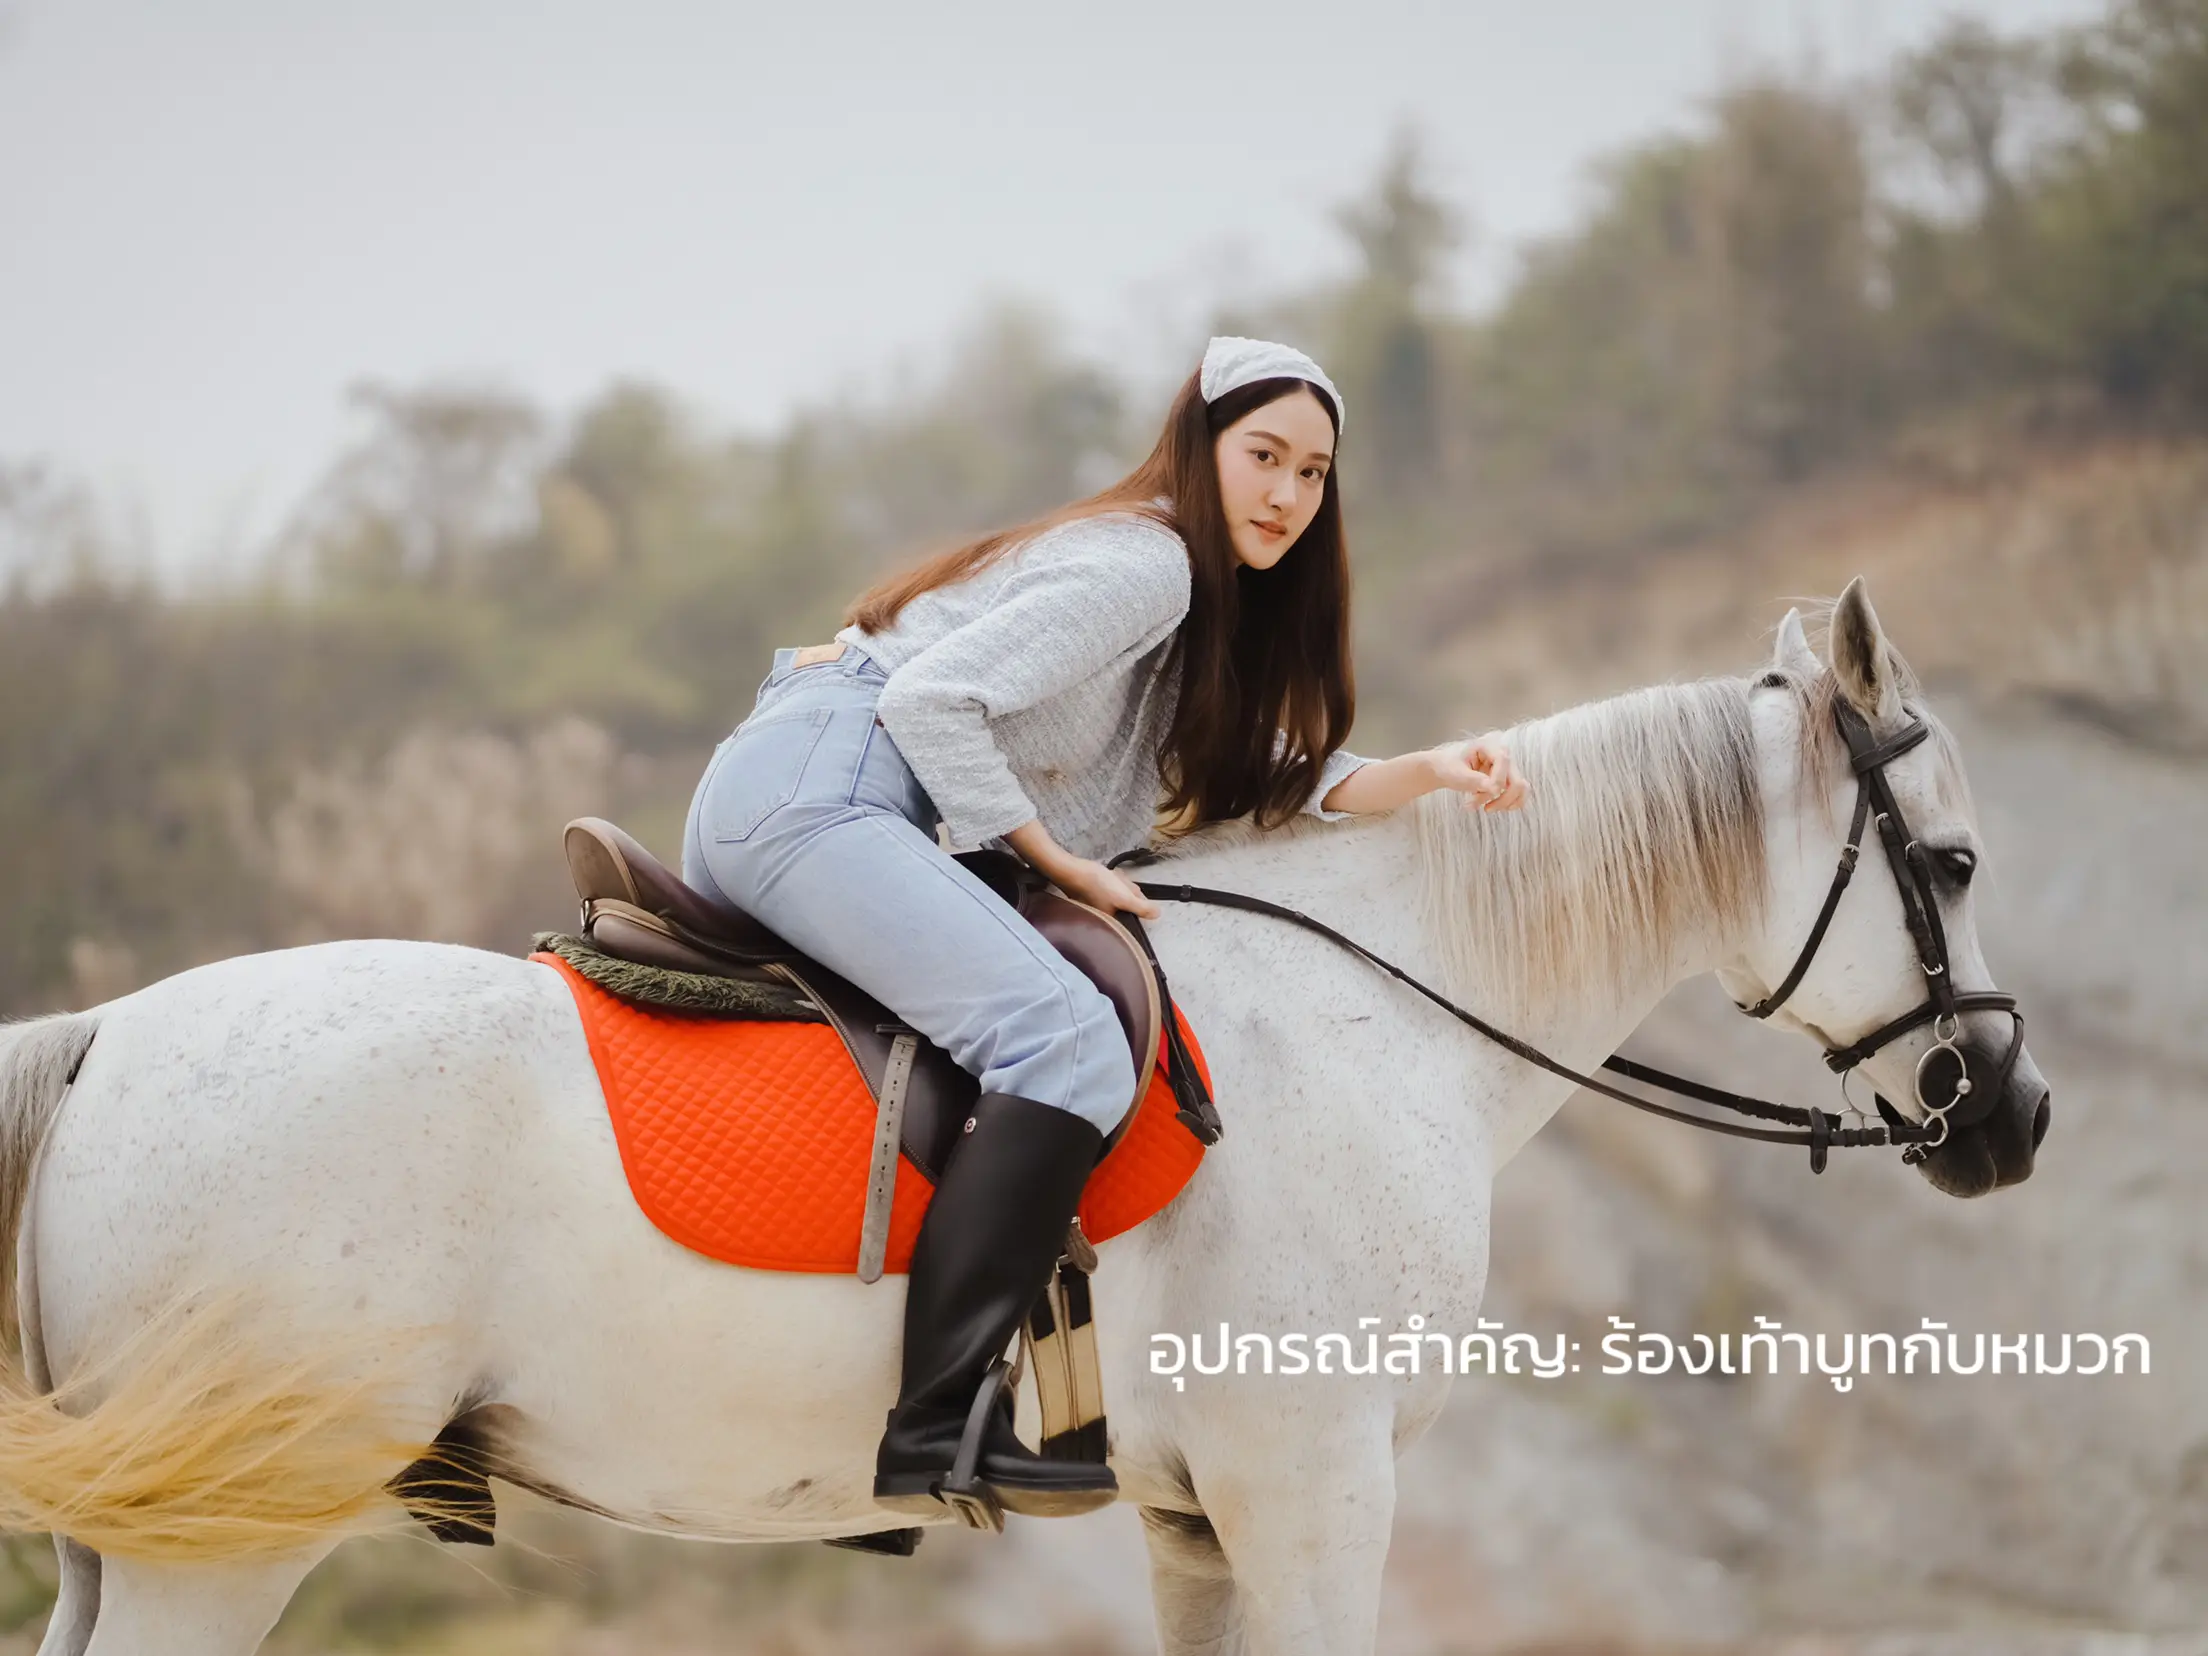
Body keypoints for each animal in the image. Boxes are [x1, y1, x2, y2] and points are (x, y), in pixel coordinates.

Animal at [0, 581, 2050, 1656]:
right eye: (1948, 862)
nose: (2009, 1114)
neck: (1383, 994)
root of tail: (109, 1039)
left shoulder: (1205, 1518)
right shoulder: (1316, 1490)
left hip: (141, 1535)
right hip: (227, 1540)